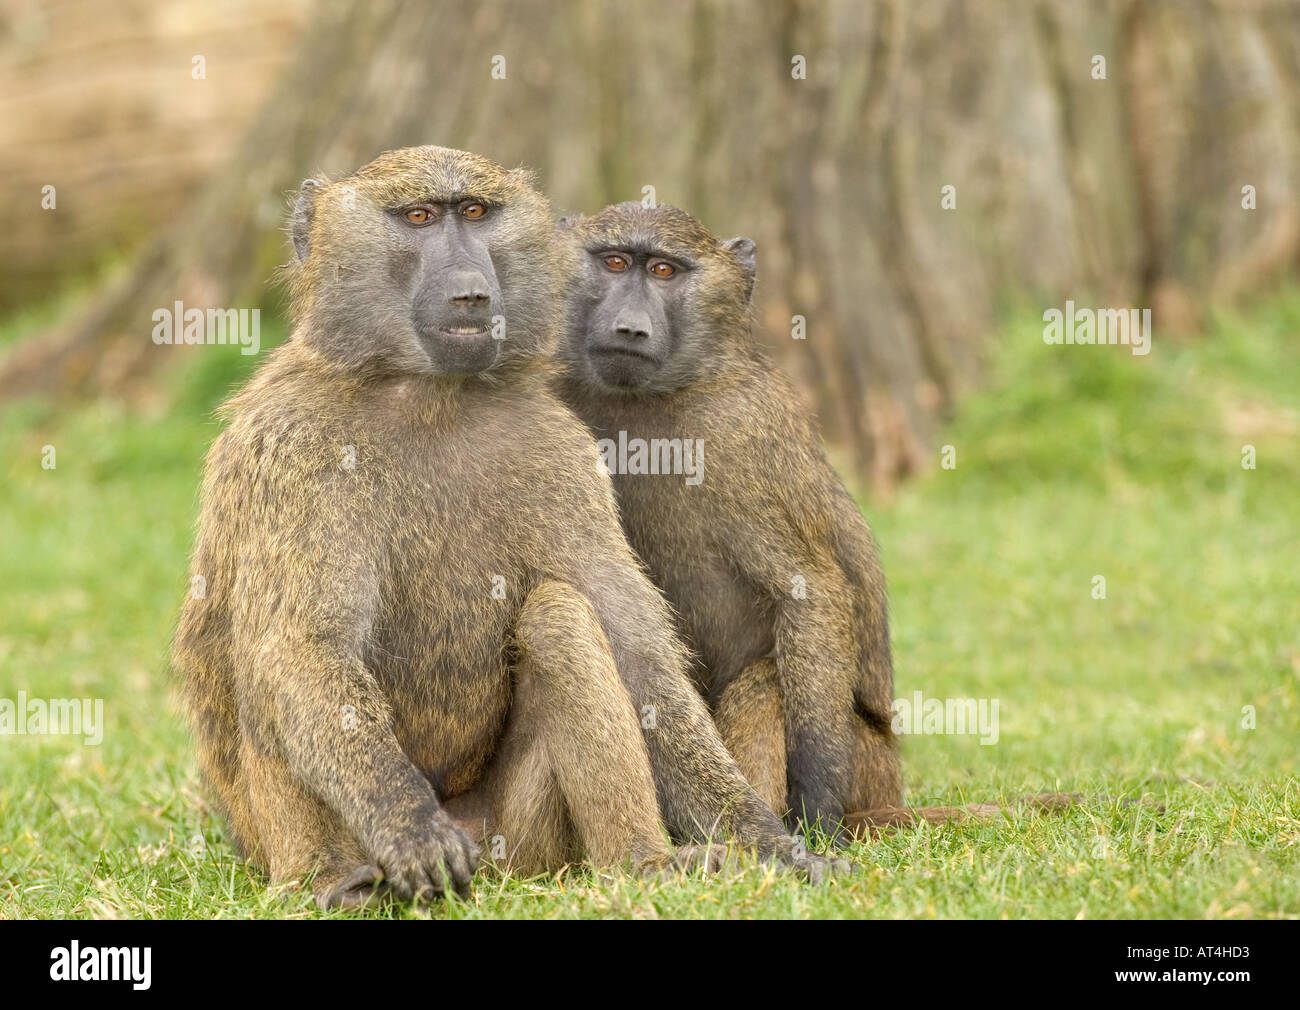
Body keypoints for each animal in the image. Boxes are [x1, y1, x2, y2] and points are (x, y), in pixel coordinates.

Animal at [172, 149, 839, 910]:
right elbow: (302, 649)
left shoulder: (561, 452)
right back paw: (342, 881)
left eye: (476, 213)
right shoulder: (289, 445)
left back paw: (643, 864)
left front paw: (769, 843)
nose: (470, 292)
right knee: (269, 666)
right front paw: (410, 828)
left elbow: (640, 661)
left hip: (520, 839)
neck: (430, 395)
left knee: (560, 617)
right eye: (420, 216)